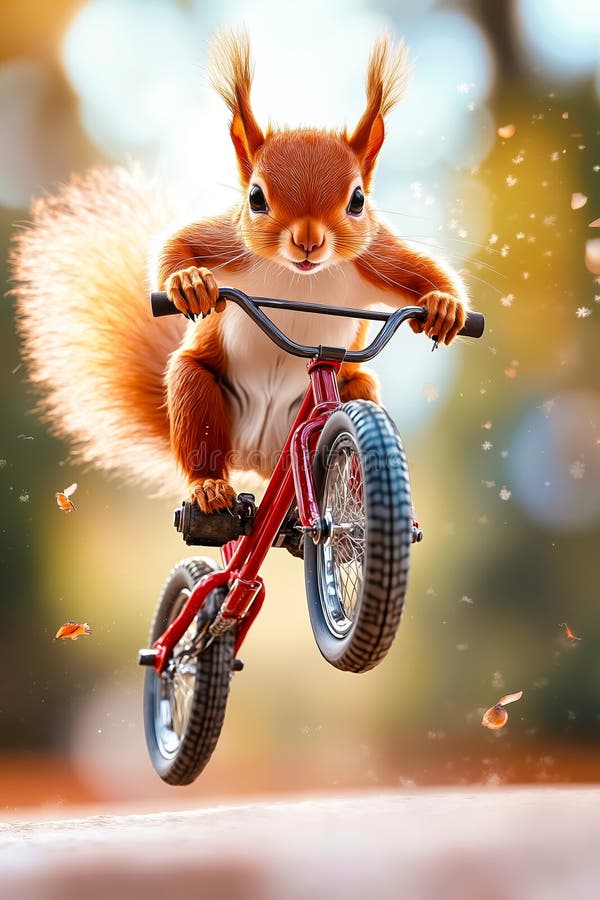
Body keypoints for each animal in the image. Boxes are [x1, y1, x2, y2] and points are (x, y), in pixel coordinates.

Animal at [11, 31, 468, 513]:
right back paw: (210, 489)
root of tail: (258, 457)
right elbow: (183, 244)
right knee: (201, 433)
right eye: (255, 198)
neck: (300, 279)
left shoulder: (372, 255)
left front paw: (444, 307)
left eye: (358, 200)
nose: (308, 242)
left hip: (349, 390)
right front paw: (189, 283)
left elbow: (420, 272)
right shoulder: (232, 243)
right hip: (202, 399)